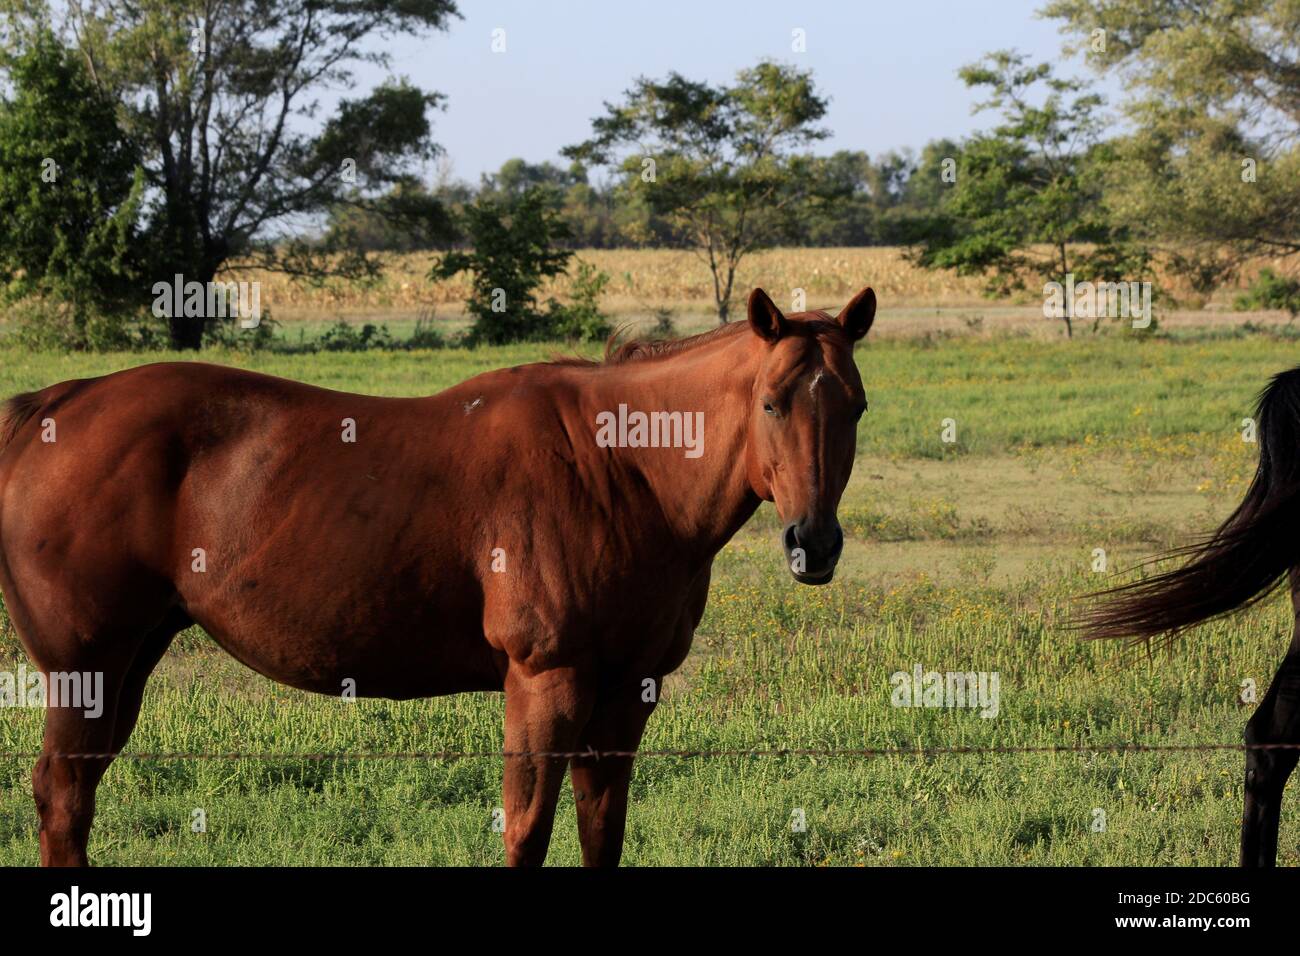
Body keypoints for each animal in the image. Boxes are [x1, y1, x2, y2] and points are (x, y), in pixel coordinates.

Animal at [0, 285, 876, 866]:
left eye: (856, 407)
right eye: (771, 403)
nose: (813, 542)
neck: (619, 467)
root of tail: (52, 408)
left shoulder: (628, 693)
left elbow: (602, 831)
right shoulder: (546, 683)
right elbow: (528, 832)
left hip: (128, 664)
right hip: (85, 669)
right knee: (63, 798)